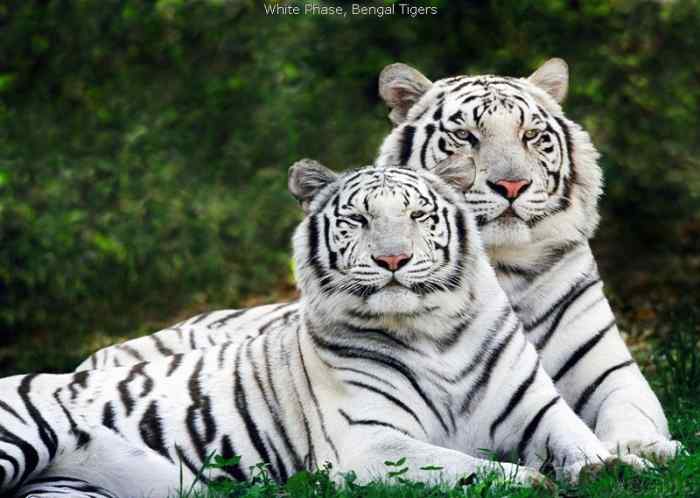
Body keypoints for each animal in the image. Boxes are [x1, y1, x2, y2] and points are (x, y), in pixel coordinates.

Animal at [76, 59, 682, 462]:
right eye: (465, 136)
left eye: (533, 135)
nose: (511, 185)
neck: (503, 267)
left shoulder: (611, 373)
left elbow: (630, 415)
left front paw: (643, 449)